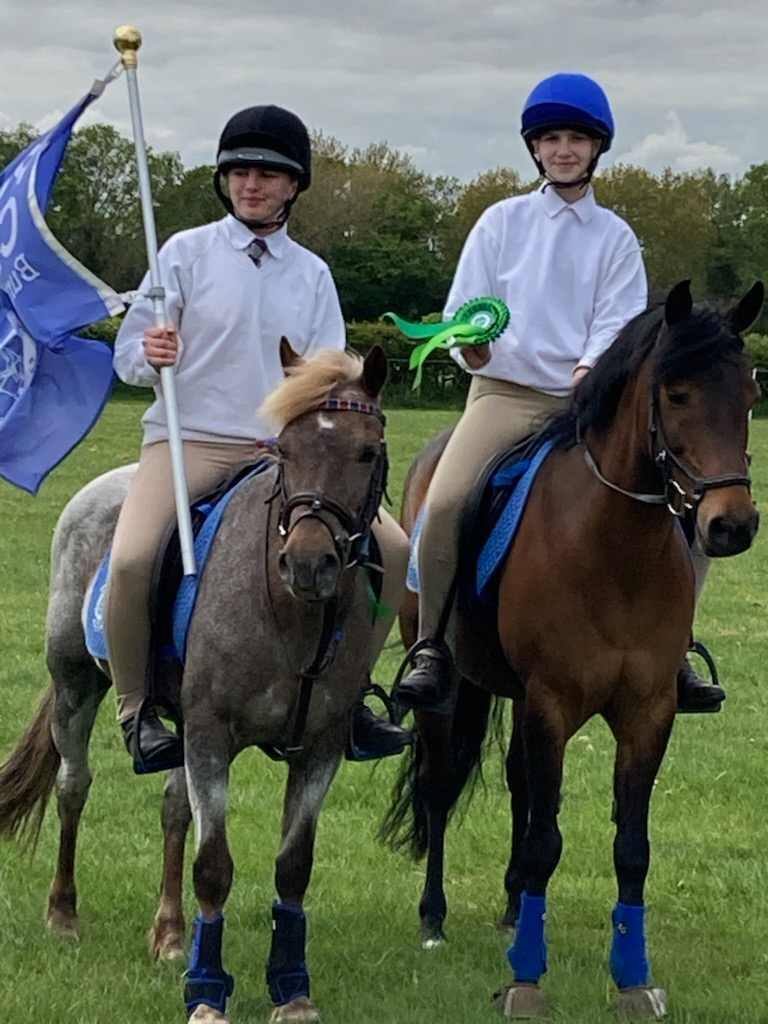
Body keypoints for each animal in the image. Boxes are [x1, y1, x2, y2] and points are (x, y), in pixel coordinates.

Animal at [0, 342, 390, 1024]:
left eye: (367, 452)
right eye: (286, 449)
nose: (308, 564)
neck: (289, 614)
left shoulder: (318, 749)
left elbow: (293, 866)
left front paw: (292, 990)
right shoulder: (210, 734)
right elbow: (214, 867)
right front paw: (207, 995)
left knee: (174, 810)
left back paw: (170, 932)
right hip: (75, 685)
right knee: (74, 788)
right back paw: (63, 914)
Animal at [381, 281, 763, 1019]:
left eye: (751, 393)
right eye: (676, 394)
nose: (730, 525)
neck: (615, 549)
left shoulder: (647, 711)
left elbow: (630, 846)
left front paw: (633, 978)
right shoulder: (552, 703)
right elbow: (544, 841)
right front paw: (526, 981)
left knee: (520, 788)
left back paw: (510, 910)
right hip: (453, 689)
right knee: (440, 790)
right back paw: (433, 918)